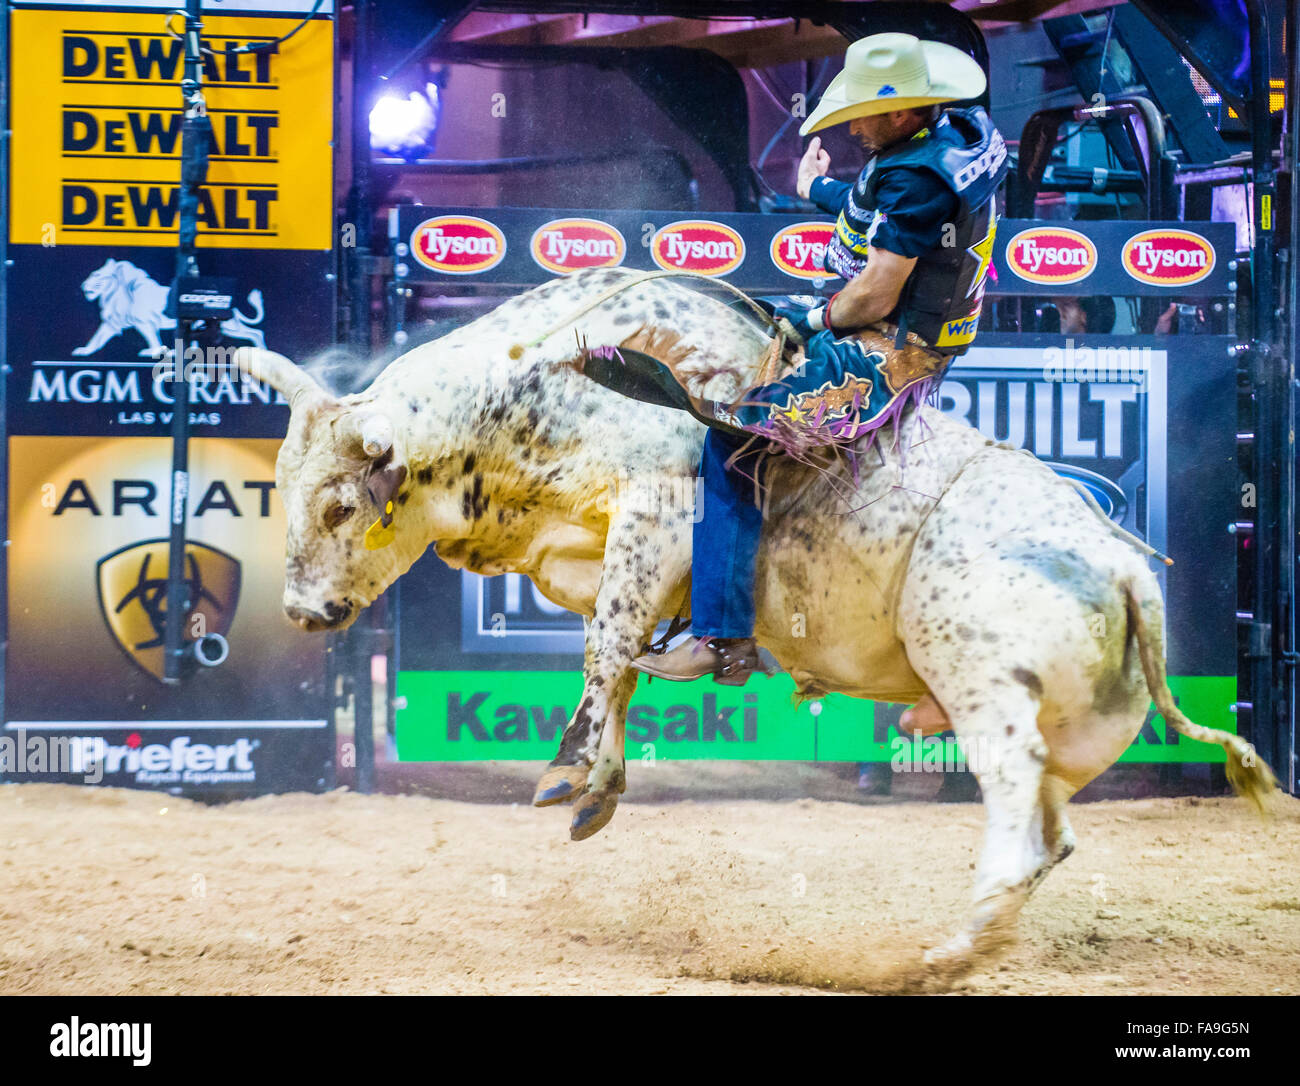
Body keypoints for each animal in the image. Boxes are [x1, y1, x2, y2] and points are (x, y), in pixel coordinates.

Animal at [236, 266, 1274, 970]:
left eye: (340, 505)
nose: (303, 611)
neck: (539, 387)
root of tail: (1123, 562)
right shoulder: (606, 557)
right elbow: (615, 653)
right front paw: (598, 784)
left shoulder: (657, 514)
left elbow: (609, 647)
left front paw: (568, 771)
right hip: (1078, 728)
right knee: (1053, 835)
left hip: (985, 685)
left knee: (1018, 817)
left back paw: (945, 952)